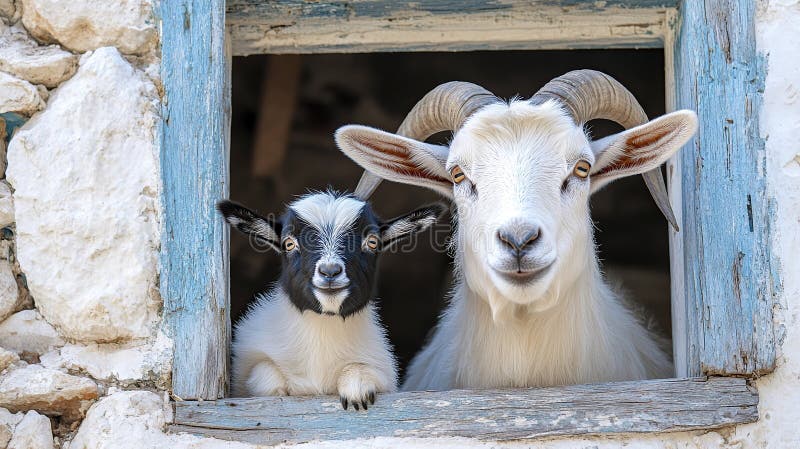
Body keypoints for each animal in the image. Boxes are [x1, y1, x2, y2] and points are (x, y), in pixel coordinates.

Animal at [218, 191, 445, 408]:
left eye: (372, 242)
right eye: (288, 243)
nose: (330, 272)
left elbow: (361, 370)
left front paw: (357, 389)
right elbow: (264, 374)